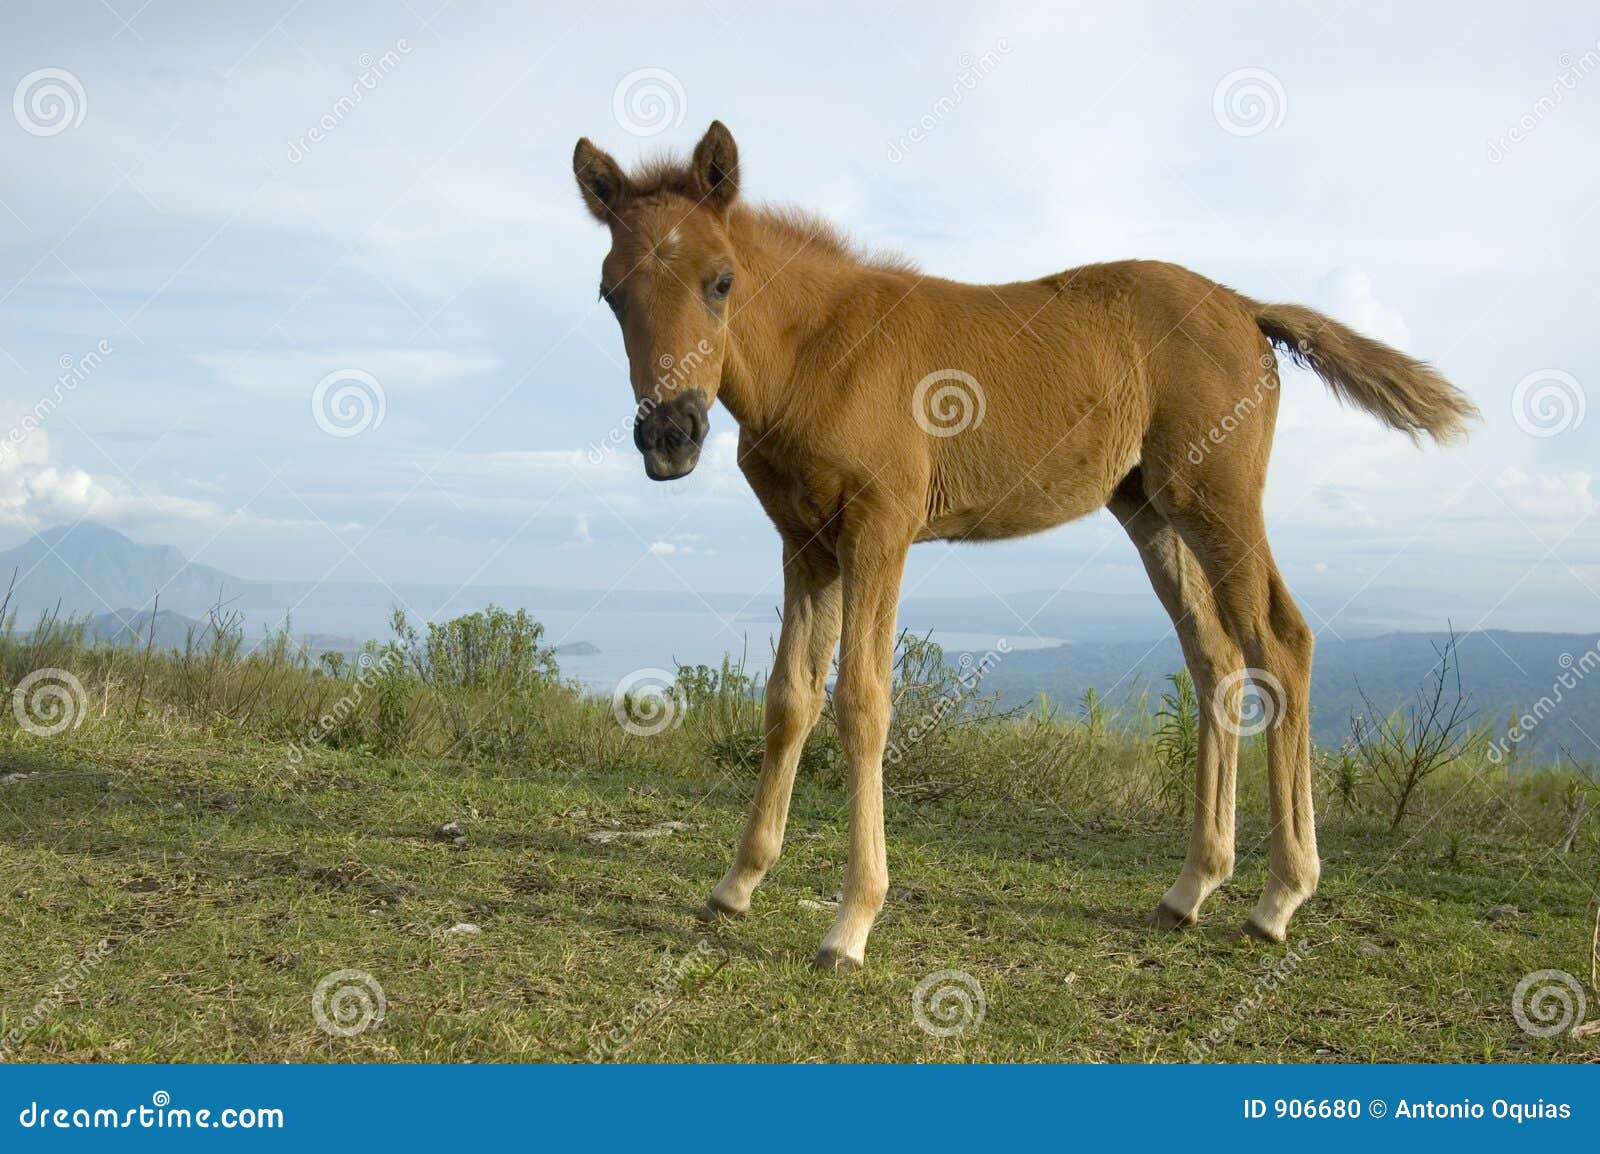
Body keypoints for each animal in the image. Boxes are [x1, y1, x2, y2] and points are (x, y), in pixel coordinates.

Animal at [572, 120, 1477, 970]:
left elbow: (862, 702)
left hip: (1218, 497)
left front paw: (852, 921)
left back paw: (1280, 898)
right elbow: (788, 697)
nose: (670, 436)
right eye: (611, 295)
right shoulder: (807, 540)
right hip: (1152, 511)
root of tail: (1246, 306)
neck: (820, 352)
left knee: (1281, 642)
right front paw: (738, 883)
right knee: (1215, 658)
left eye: (721, 280)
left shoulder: (881, 529)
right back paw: (1191, 887)